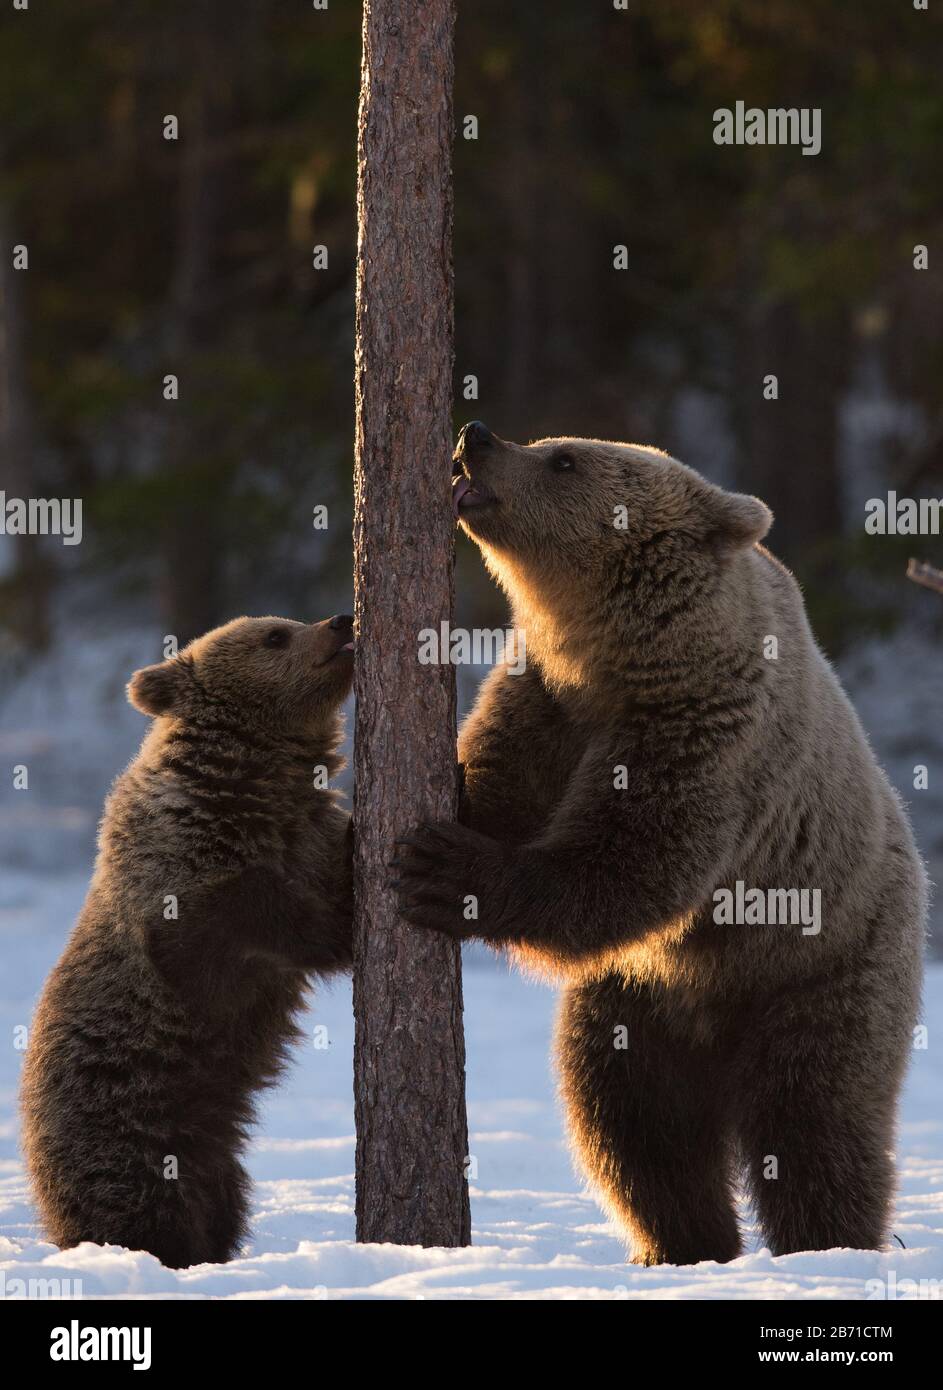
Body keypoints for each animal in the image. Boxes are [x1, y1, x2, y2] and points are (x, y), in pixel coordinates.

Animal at [22, 614, 356, 1267]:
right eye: (274, 635)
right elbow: (235, 930)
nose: (339, 621)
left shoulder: (309, 833)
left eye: (286, 623)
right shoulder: (177, 891)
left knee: (223, 1205)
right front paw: (341, 927)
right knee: (143, 1211)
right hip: (129, 1130)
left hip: (217, 1157)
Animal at [392, 422, 929, 1273]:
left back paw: (826, 1246)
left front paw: (447, 871)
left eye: (563, 458)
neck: (614, 652)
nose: (474, 436)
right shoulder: (543, 702)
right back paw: (681, 1246)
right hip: (635, 1004)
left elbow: (631, 862)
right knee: (629, 1121)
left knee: (814, 1118)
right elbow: (502, 791)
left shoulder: (700, 733)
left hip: (823, 962)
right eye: (547, 441)